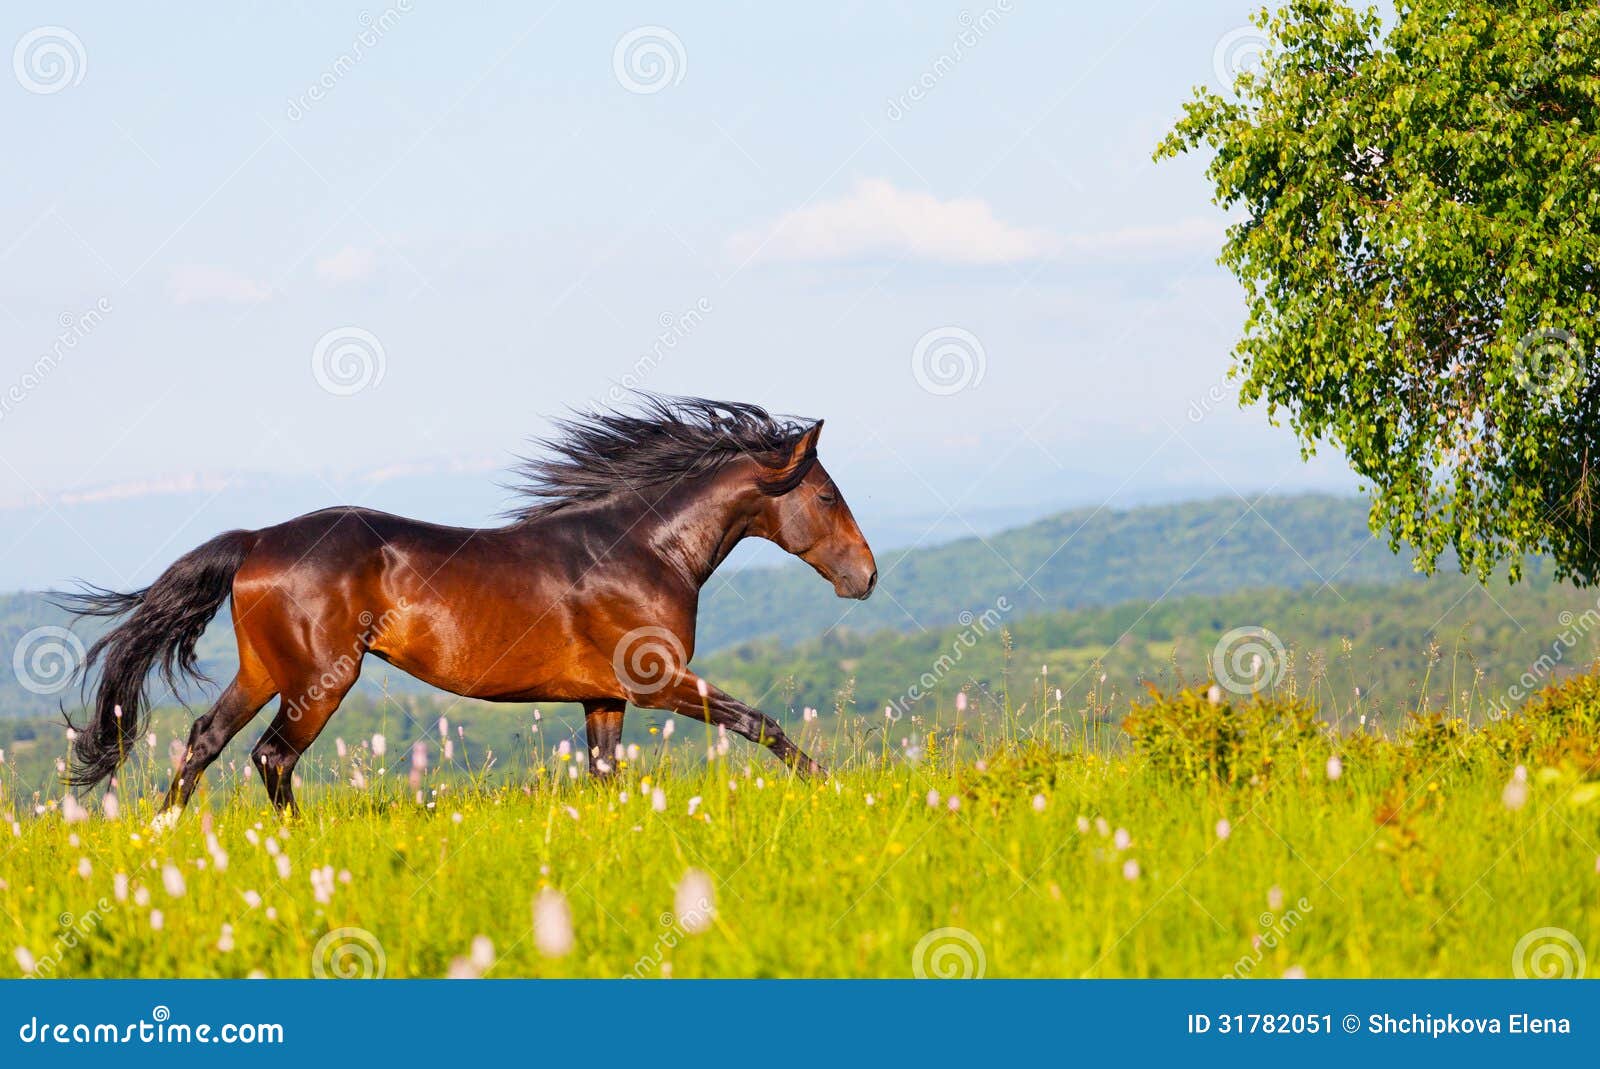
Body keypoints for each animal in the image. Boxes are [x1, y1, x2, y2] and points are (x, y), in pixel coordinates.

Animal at [58, 396, 877, 817]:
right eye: (826, 496)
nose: (865, 578)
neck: (645, 548)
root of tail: (257, 541)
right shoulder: (658, 681)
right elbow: (759, 722)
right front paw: (829, 783)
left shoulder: (605, 696)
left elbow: (605, 775)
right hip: (321, 677)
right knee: (271, 753)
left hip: (265, 669)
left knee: (206, 739)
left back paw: (168, 834)